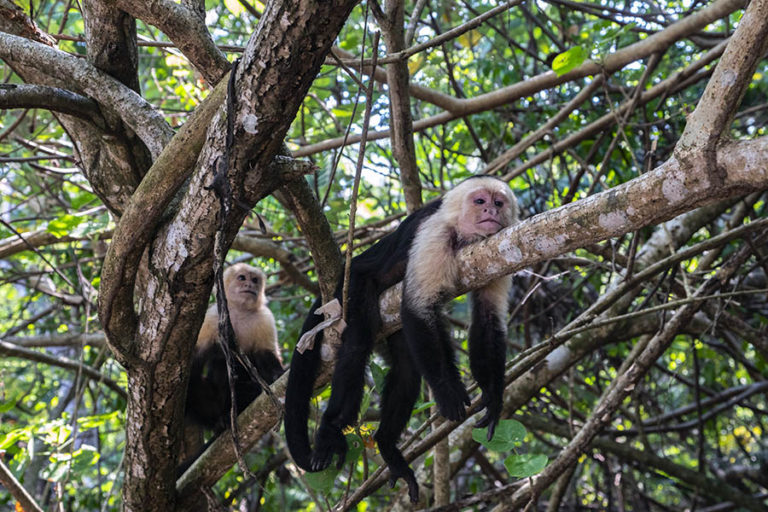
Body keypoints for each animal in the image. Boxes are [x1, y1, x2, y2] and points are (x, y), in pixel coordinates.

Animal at [185, 262, 284, 433]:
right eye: (242, 278)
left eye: (255, 280)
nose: (250, 285)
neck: (240, 311)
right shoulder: (212, 318)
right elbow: (199, 356)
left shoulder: (264, 318)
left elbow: (265, 353)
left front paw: (277, 374)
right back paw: (220, 421)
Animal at [284, 176, 518, 502]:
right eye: (480, 201)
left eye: (499, 202)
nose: (492, 212)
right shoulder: (433, 233)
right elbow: (418, 310)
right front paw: (448, 391)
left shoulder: (495, 249)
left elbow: (488, 319)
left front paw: (494, 397)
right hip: (354, 288)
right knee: (356, 346)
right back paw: (330, 428)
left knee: (407, 369)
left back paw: (386, 445)